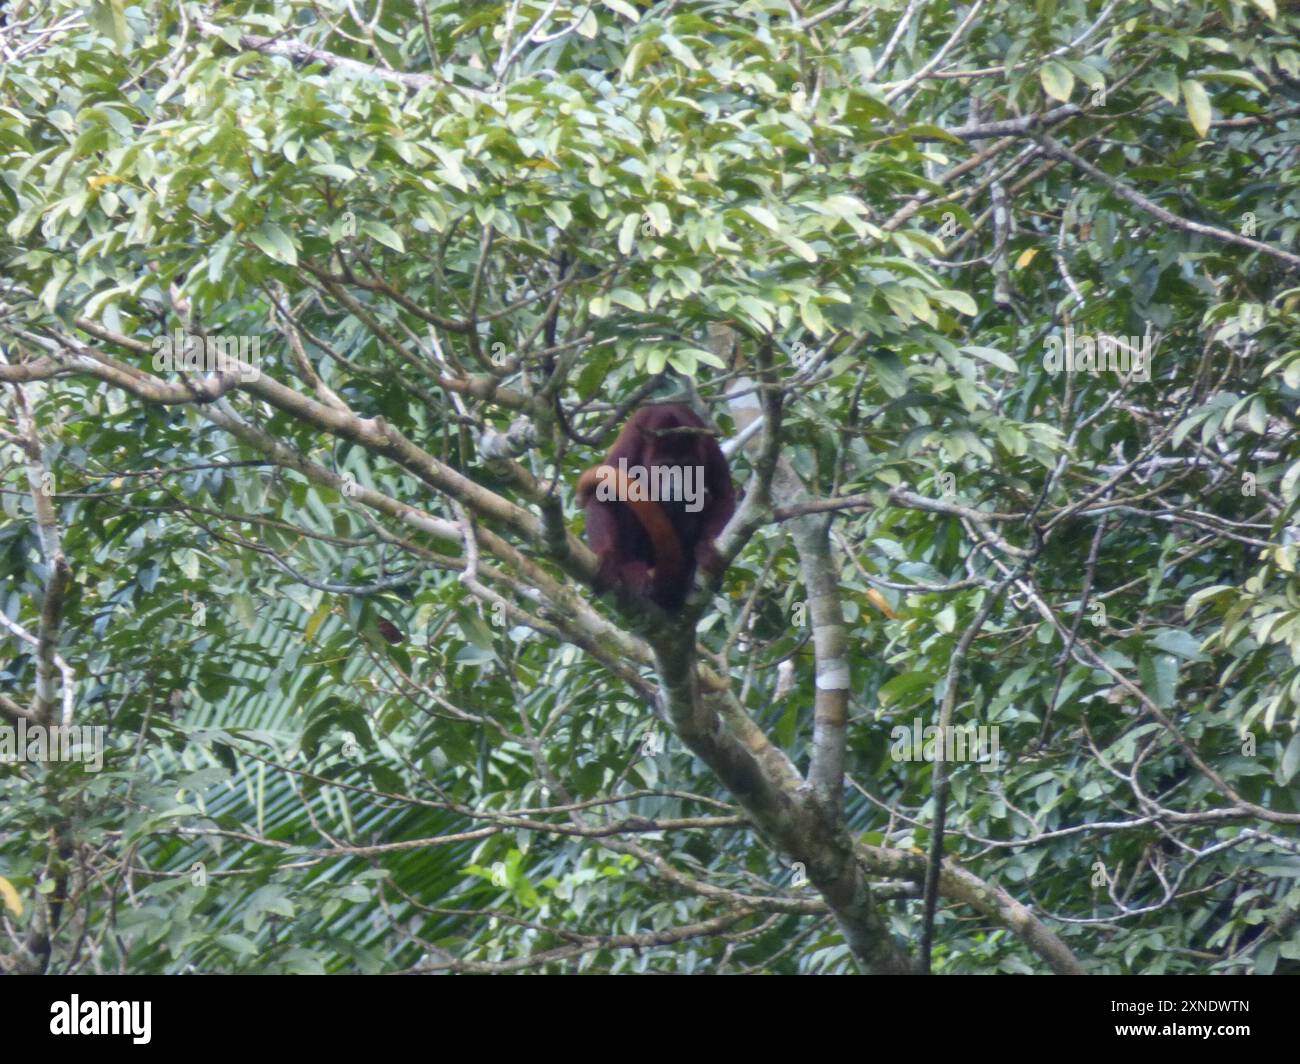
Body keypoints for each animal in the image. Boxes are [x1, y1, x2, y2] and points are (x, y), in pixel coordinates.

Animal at [577, 403, 735, 612]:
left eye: (687, 467)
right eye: (664, 467)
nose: (675, 487)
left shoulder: (706, 441)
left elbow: (723, 494)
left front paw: (706, 546)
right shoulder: (632, 440)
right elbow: (603, 491)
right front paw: (608, 557)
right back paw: (633, 569)